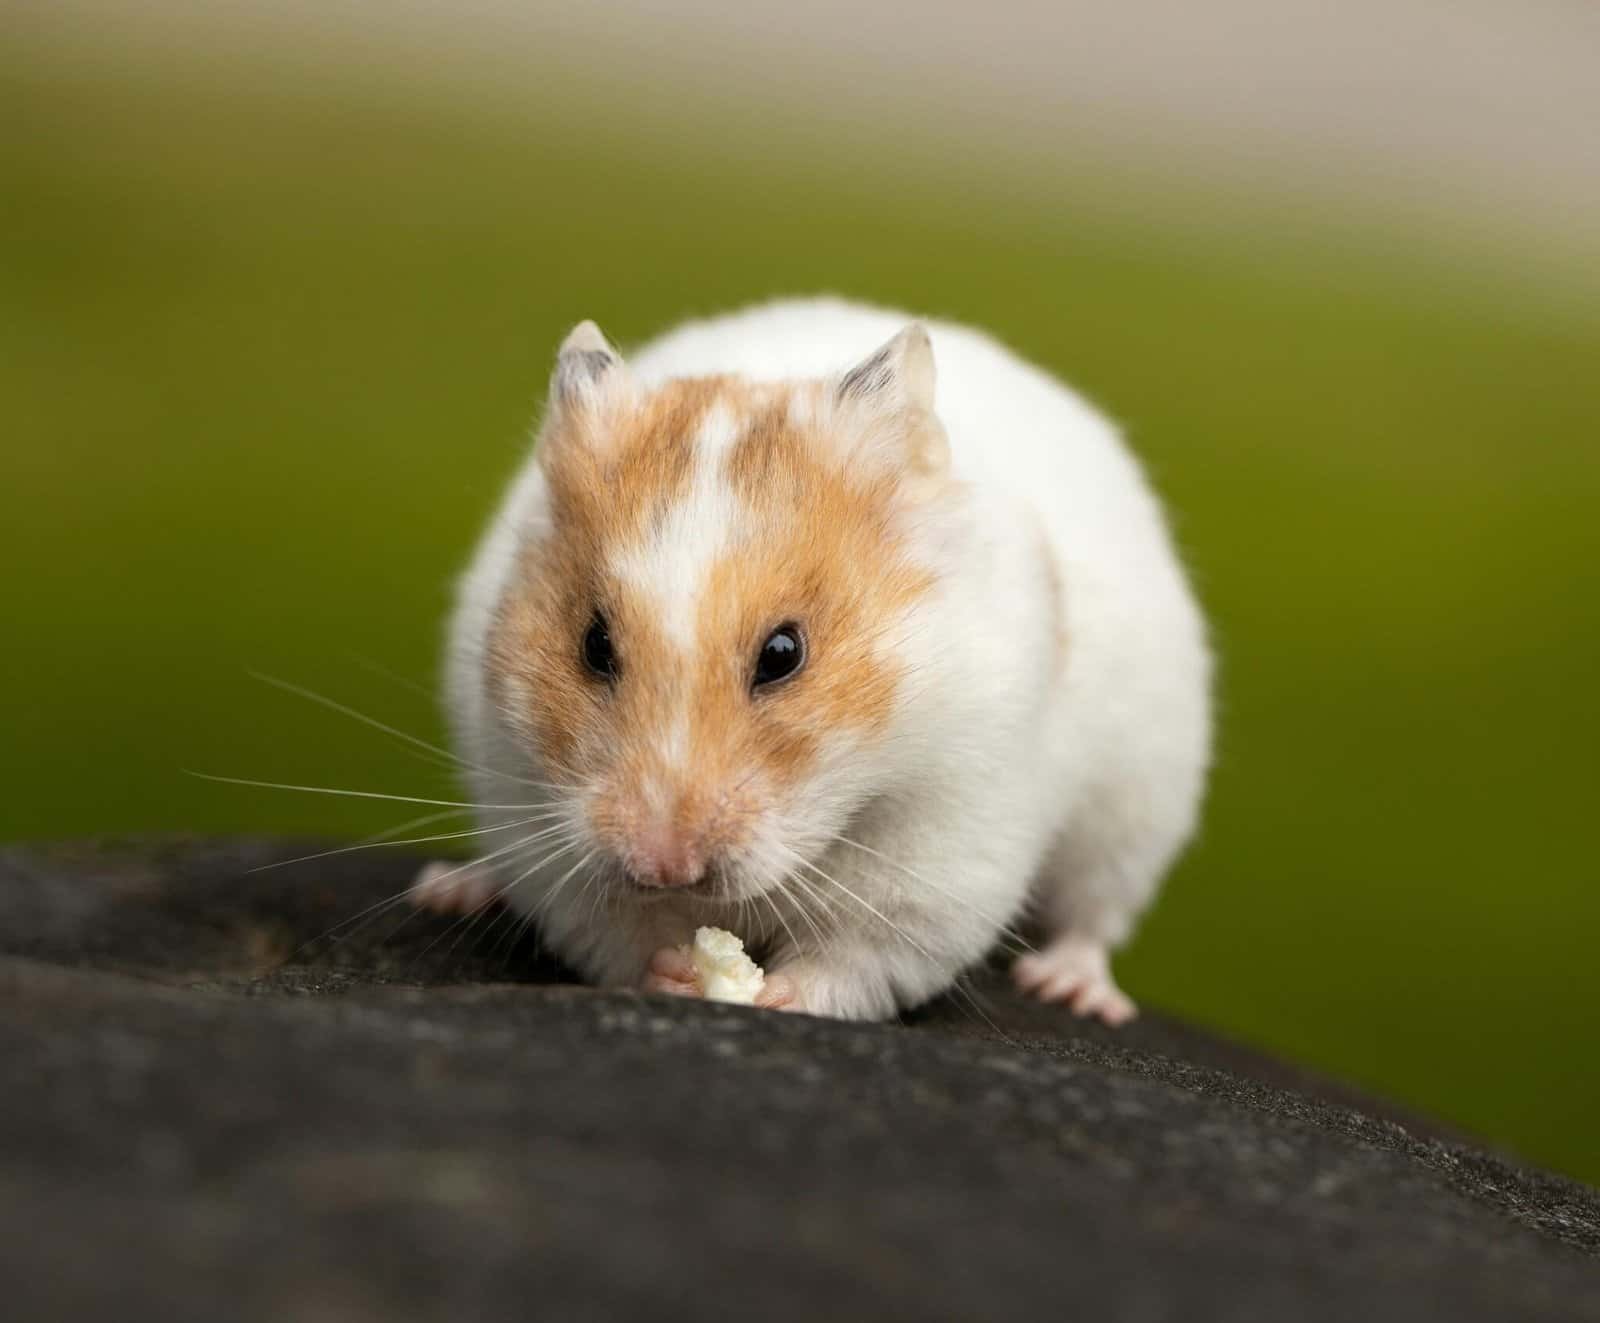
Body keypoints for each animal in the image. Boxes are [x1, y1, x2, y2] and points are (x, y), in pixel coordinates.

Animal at [412, 297, 1211, 1024]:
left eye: (783, 654)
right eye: (593, 644)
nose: (666, 867)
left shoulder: (941, 856)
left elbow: (856, 958)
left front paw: (771, 994)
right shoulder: (540, 824)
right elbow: (616, 935)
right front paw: (679, 972)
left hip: (1138, 806)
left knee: (1094, 915)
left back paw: (1073, 990)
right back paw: (452, 887)